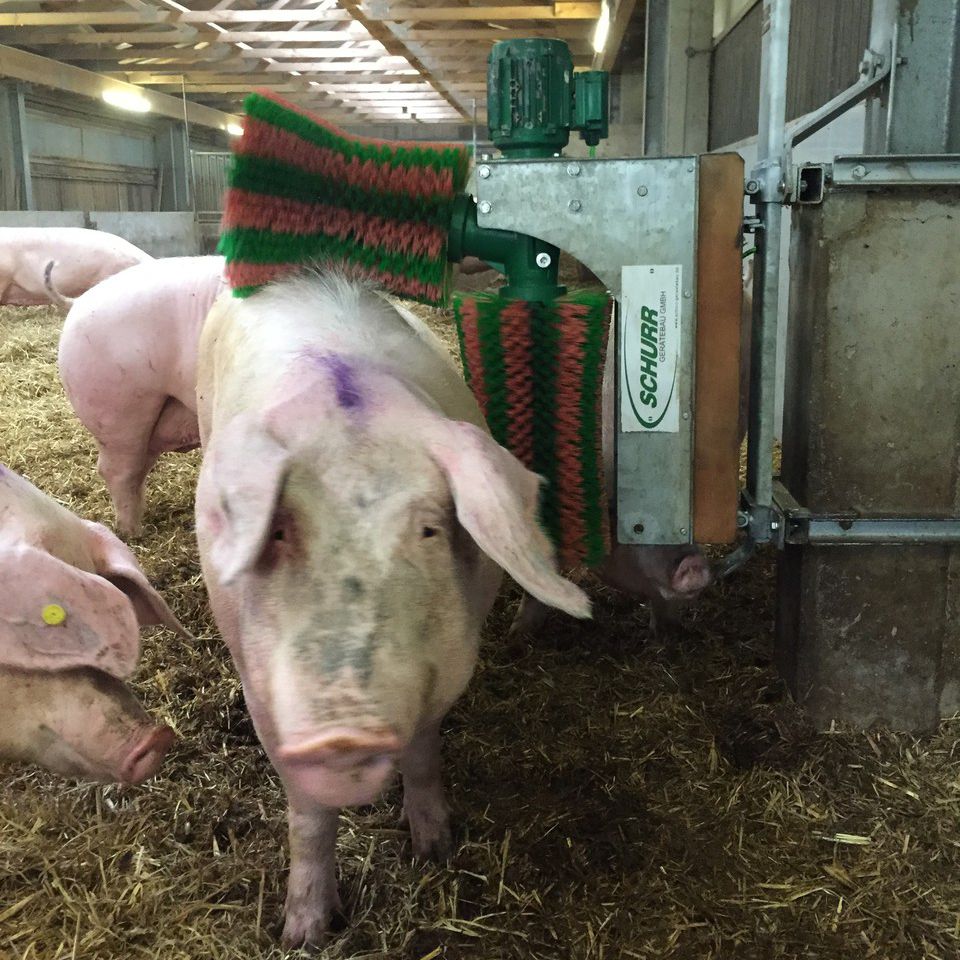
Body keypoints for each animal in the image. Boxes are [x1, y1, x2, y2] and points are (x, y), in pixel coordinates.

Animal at [194, 270, 589, 948]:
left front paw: (435, 849)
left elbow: (424, 750)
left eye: (428, 530)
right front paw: (303, 936)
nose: (342, 729)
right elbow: (309, 816)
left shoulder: (451, 665)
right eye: (280, 531)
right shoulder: (261, 689)